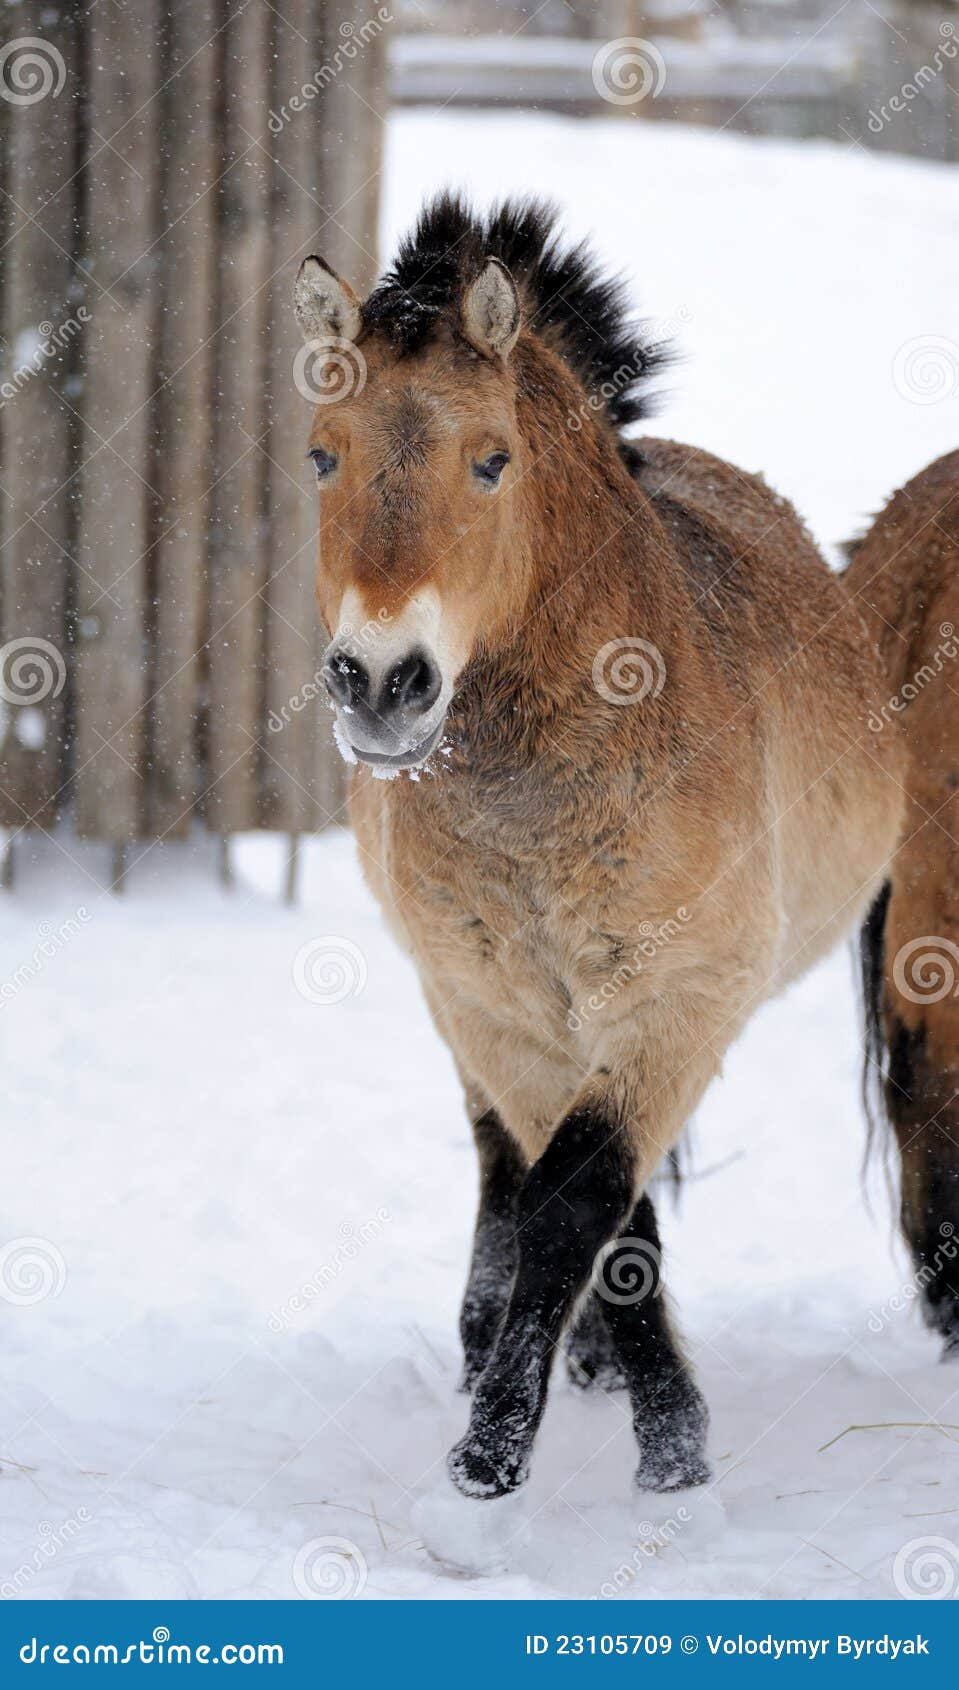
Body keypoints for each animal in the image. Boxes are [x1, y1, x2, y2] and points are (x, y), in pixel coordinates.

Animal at [292, 191, 954, 1502]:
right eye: (322, 455)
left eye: (489, 459)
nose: (380, 683)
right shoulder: (503, 1010)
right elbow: (581, 1202)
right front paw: (553, 1417)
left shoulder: (673, 998)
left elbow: (585, 1196)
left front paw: (588, 1444)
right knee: (501, 1159)